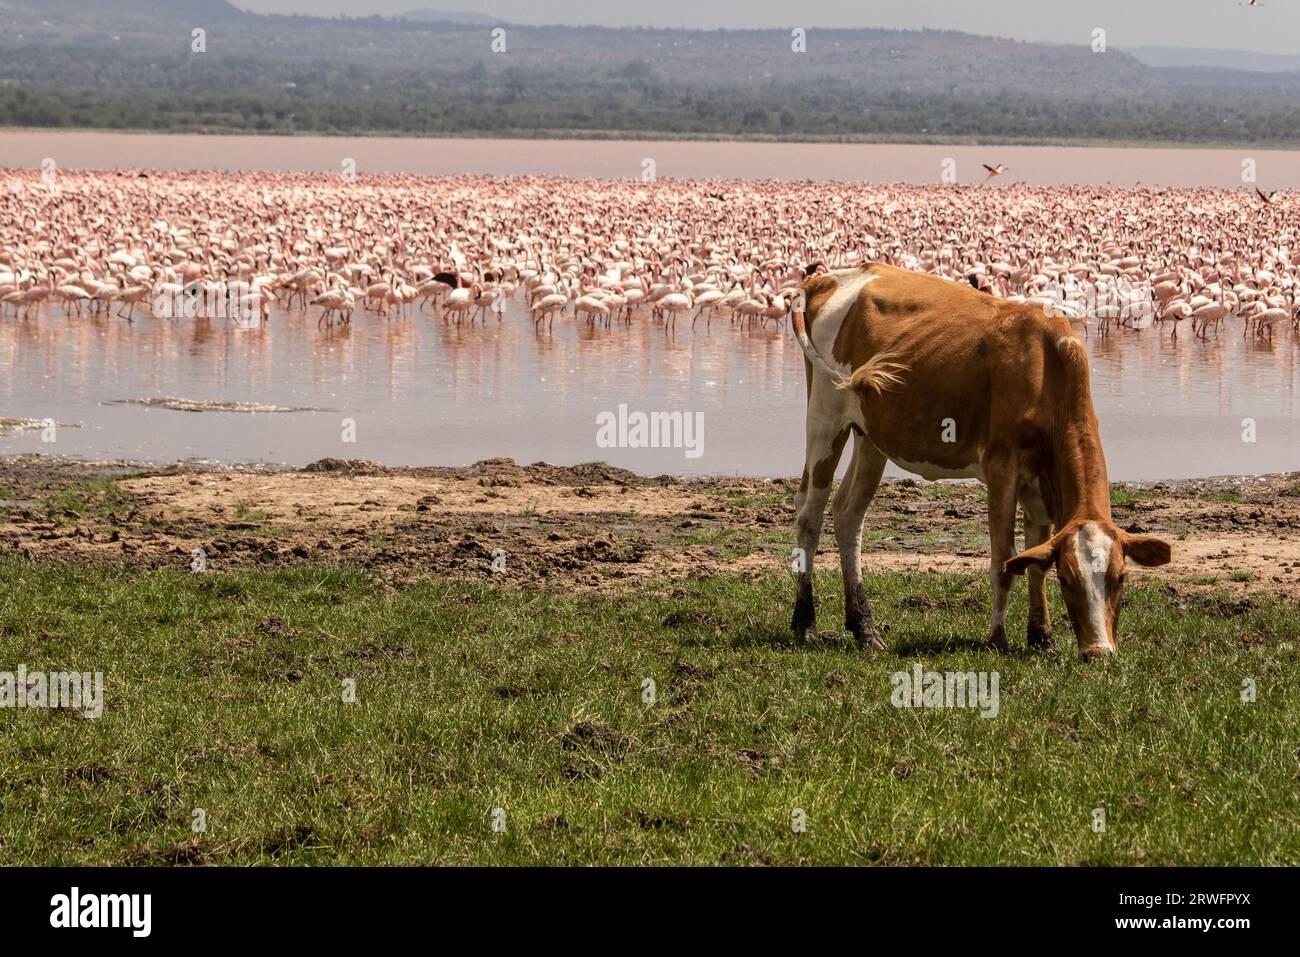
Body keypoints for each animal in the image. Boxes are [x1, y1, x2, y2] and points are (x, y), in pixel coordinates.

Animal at [789, 263, 1171, 659]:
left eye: (1120, 577)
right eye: (1067, 579)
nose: (1099, 651)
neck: (1047, 370)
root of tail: (830, 277)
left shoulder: (1037, 487)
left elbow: (1034, 561)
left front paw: (1043, 637)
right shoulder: (1001, 470)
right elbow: (1004, 558)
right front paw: (997, 638)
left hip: (870, 435)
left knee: (849, 514)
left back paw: (864, 628)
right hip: (825, 418)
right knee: (810, 513)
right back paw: (806, 624)